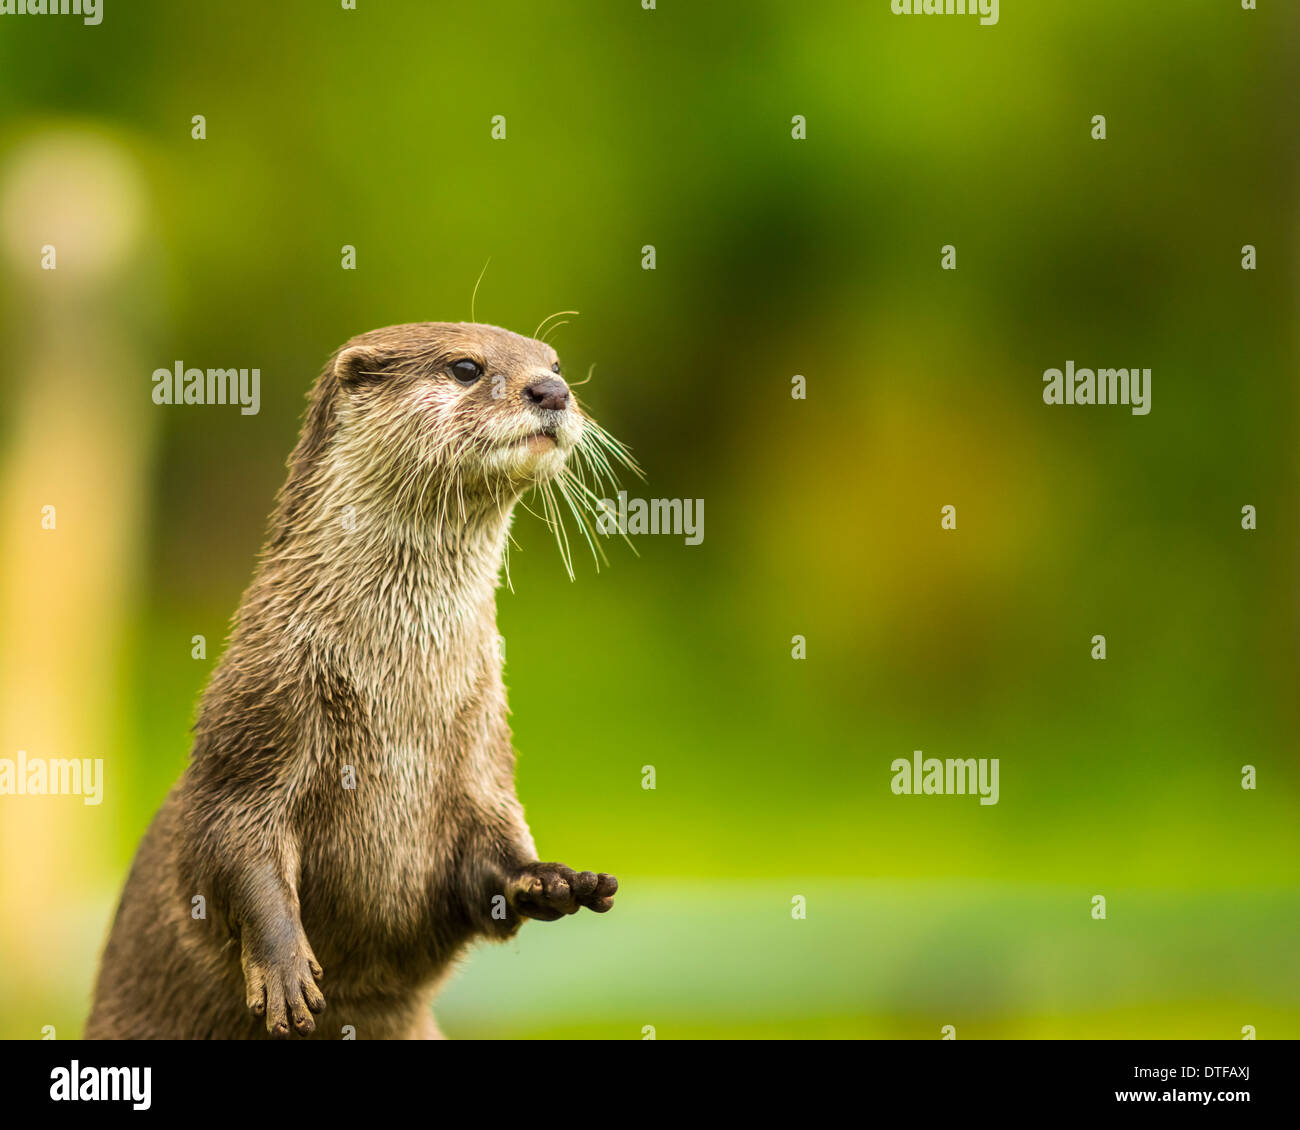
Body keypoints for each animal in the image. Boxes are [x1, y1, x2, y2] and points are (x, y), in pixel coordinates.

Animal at [86, 321, 632, 1039]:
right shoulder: (258, 715)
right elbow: (233, 841)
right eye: (466, 367)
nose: (552, 391)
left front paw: (549, 879)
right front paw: (284, 967)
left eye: (556, 363)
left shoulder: (483, 741)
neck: (399, 694)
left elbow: (489, 860)